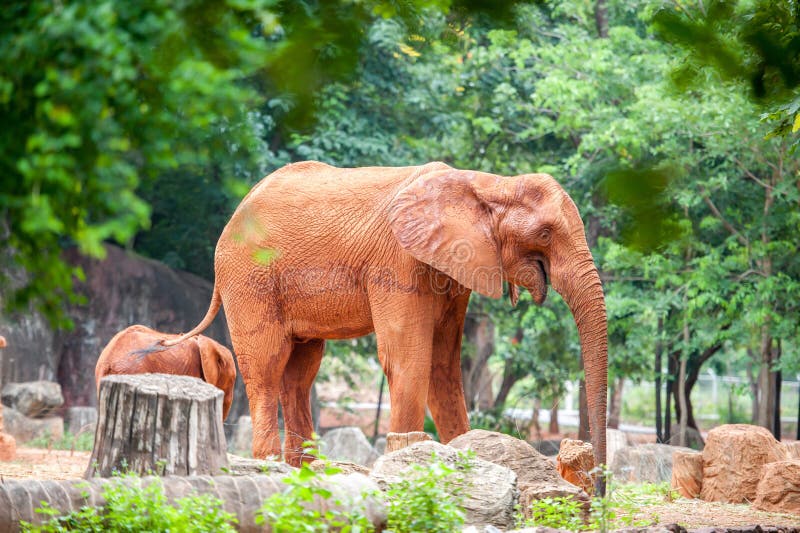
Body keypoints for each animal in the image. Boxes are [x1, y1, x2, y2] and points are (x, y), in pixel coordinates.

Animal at [166, 161, 608, 471]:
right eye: (546, 234)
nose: (600, 487)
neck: (487, 182)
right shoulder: (398, 261)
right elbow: (409, 359)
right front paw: (408, 464)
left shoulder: (453, 267)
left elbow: (443, 365)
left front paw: (464, 457)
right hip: (249, 278)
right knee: (267, 365)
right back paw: (271, 467)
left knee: (300, 370)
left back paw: (306, 471)